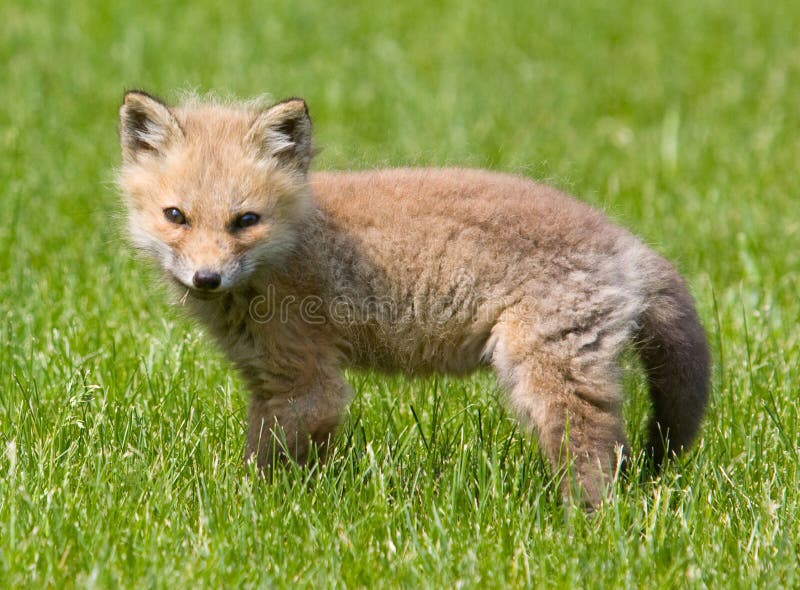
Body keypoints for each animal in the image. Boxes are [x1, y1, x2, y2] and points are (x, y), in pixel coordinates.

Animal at [117, 90, 710, 509]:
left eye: (245, 221)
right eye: (176, 216)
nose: (207, 277)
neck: (291, 246)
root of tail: (622, 238)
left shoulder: (308, 384)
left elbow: (265, 460)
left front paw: (251, 505)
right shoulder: (270, 380)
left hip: (549, 376)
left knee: (596, 457)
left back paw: (584, 526)